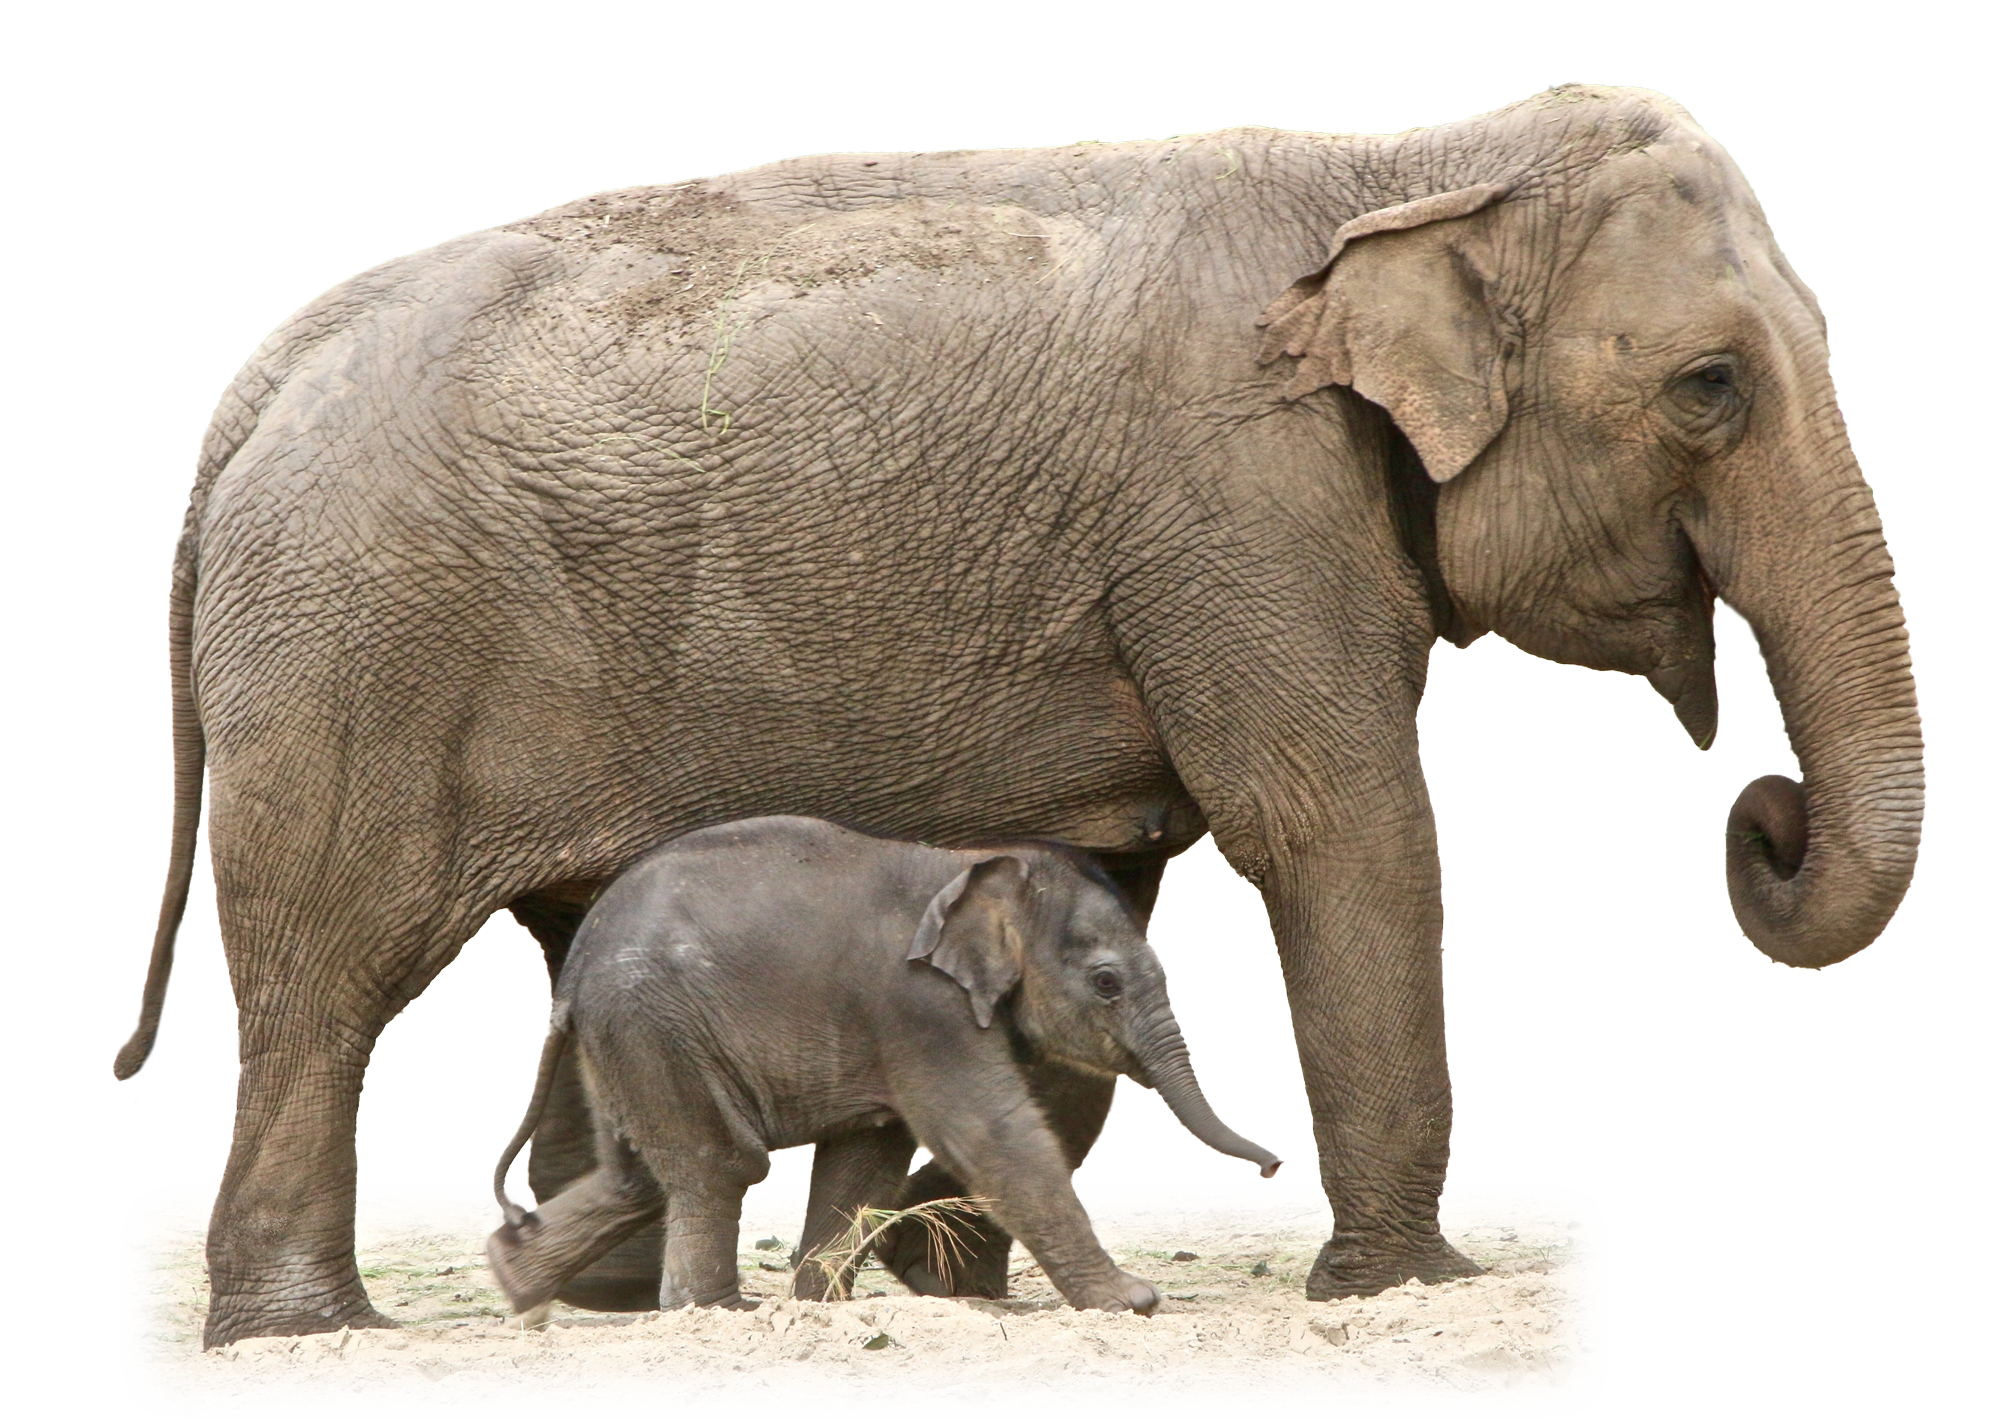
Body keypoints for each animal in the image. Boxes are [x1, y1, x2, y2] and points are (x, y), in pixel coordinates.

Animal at [481, 815, 1282, 1317]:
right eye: (1107, 982)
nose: (1275, 1166)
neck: (977, 865)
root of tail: (574, 974)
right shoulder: (919, 1008)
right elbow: (991, 1134)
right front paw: (1133, 1302)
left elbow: (867, 1157)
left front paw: (818, 1308)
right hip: (655, 1024)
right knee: (721, 1164)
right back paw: (715, 1312)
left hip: (630, 1037)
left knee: (640, 1176)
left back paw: (515, 1283)